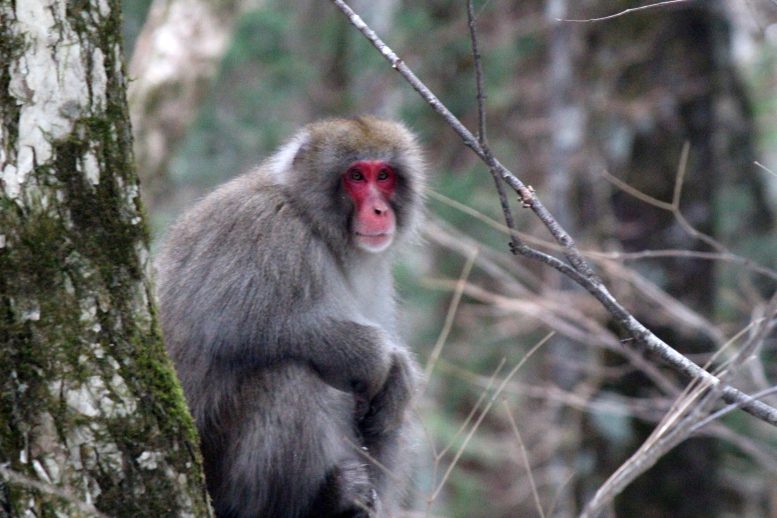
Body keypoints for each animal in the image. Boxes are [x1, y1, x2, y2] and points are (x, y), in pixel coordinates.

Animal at [154, 118, 424, 518]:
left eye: (384, 175)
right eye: (356, 176)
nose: (379, 210)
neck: (313, 223)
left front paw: (400, 373)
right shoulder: (269, 233)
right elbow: (238, 327)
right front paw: (375, 355)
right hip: (217, 471)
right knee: (288, 376)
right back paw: (319, 501)